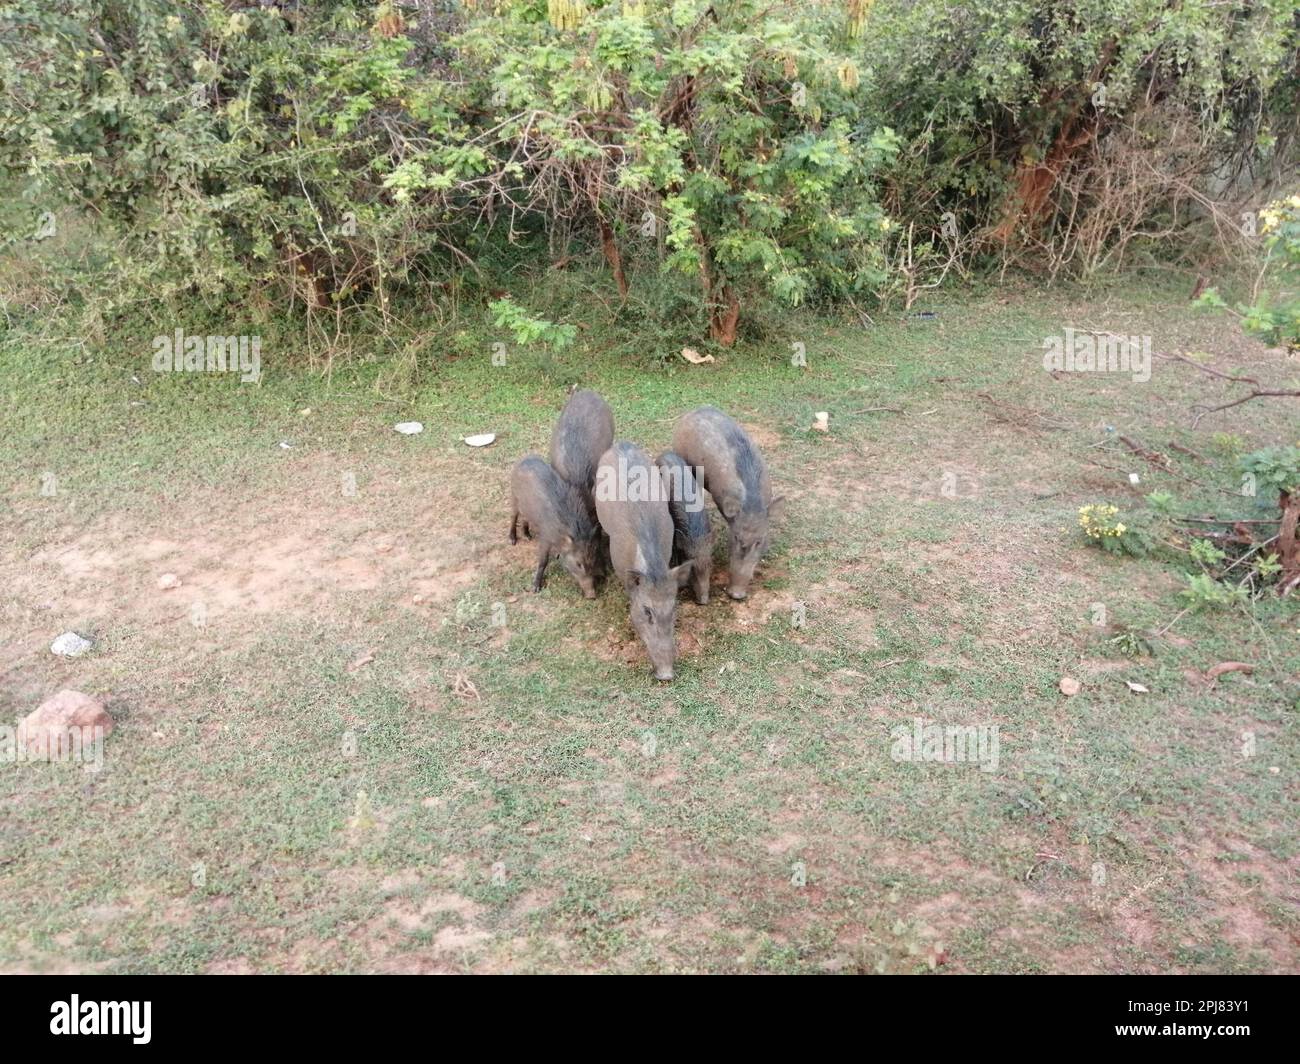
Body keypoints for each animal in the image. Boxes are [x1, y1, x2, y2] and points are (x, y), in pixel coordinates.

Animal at [508, 455, 600, 599]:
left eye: (594, 561)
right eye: (578, 564)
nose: (592, 595)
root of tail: (523, 459)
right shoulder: (545, 537)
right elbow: (543, 561)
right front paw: (535, 588)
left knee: (525, 518)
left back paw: (528, 536)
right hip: (514, 497)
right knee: (513, 516)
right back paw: (512, 539)